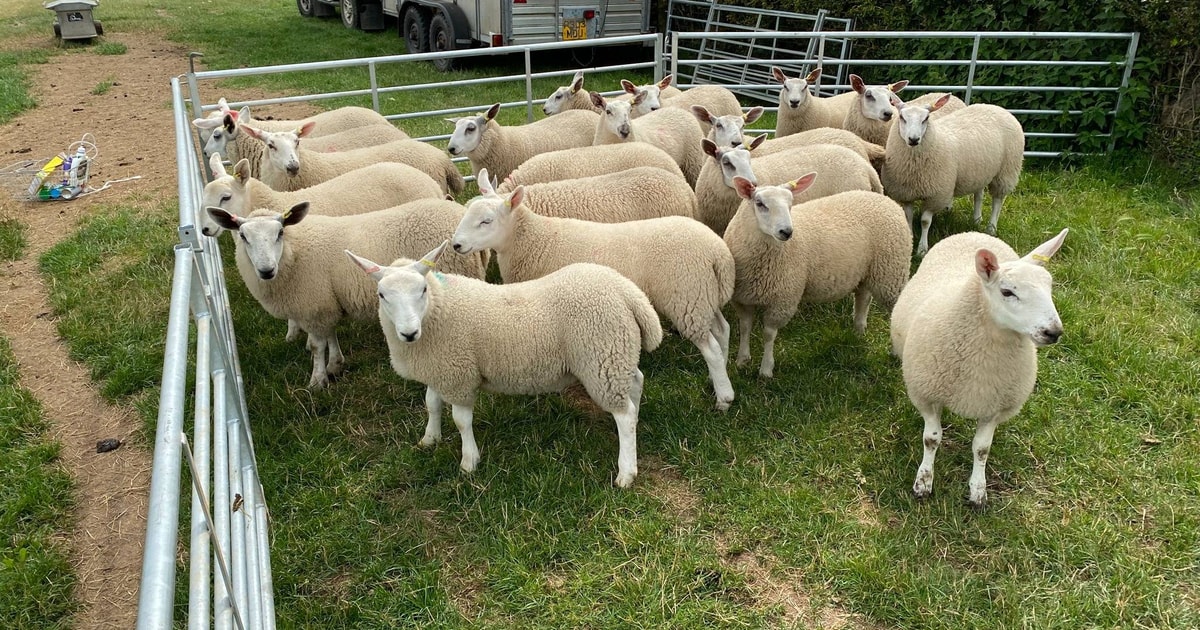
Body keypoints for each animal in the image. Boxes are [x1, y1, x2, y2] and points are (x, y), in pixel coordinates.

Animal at [205, 199, 488, 388]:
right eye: (243, 236)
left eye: (280, 232)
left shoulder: (313, 304)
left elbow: (317, 345)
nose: (266, 270)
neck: (294, 253)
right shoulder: (325, 303)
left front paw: (317, 380)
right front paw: (335, 364)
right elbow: (330, 335)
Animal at [347, 242, 662, 487]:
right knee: (636, 384)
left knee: (623, 413)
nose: (409, 333)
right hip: (617, 353)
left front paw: (469, 462)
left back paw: (626, 472)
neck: (439, 310)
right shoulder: (439, 369)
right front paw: (429, 439)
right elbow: (431, 404)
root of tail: (628, 292)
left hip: (600, 358)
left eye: (423, 289)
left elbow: (461, 421)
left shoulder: (459, 373)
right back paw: (634, 428)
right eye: (382, 295)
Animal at [724, 175, 912, 378]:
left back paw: (895, 352)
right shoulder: (742, 299)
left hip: (892, 271)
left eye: (790, 204)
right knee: (863, 298)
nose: (786, 232)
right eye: (759, 203)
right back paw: (858, 331)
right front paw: (742, 361)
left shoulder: (782, 301)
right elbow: (745, 327)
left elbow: (768, 335)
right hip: (866, 270)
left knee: (896, 309)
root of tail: (887, 200)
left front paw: (766, 370)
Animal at [881, 94, 1025, 256]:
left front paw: (922, 249)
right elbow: (908, 218)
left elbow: (925, 221)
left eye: (926, 118)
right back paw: (976, 220)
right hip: (980, 171)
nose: (913, 139)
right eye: (902, 117)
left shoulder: (936, 195)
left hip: (1006, 171)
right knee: (979, 195)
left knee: (998, 200)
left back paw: (991, 228)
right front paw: (910, 239)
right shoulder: (906, 193)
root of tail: (997, 107)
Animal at [890, 228, 1068, 507]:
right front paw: (924, 481)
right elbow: (931, 439)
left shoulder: (995, 406)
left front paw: (978, 490)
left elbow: (982, 449)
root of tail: (974, 232)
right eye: (1007, 292)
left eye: (1049, 289)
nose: (1053, 332)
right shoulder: (926, 395)